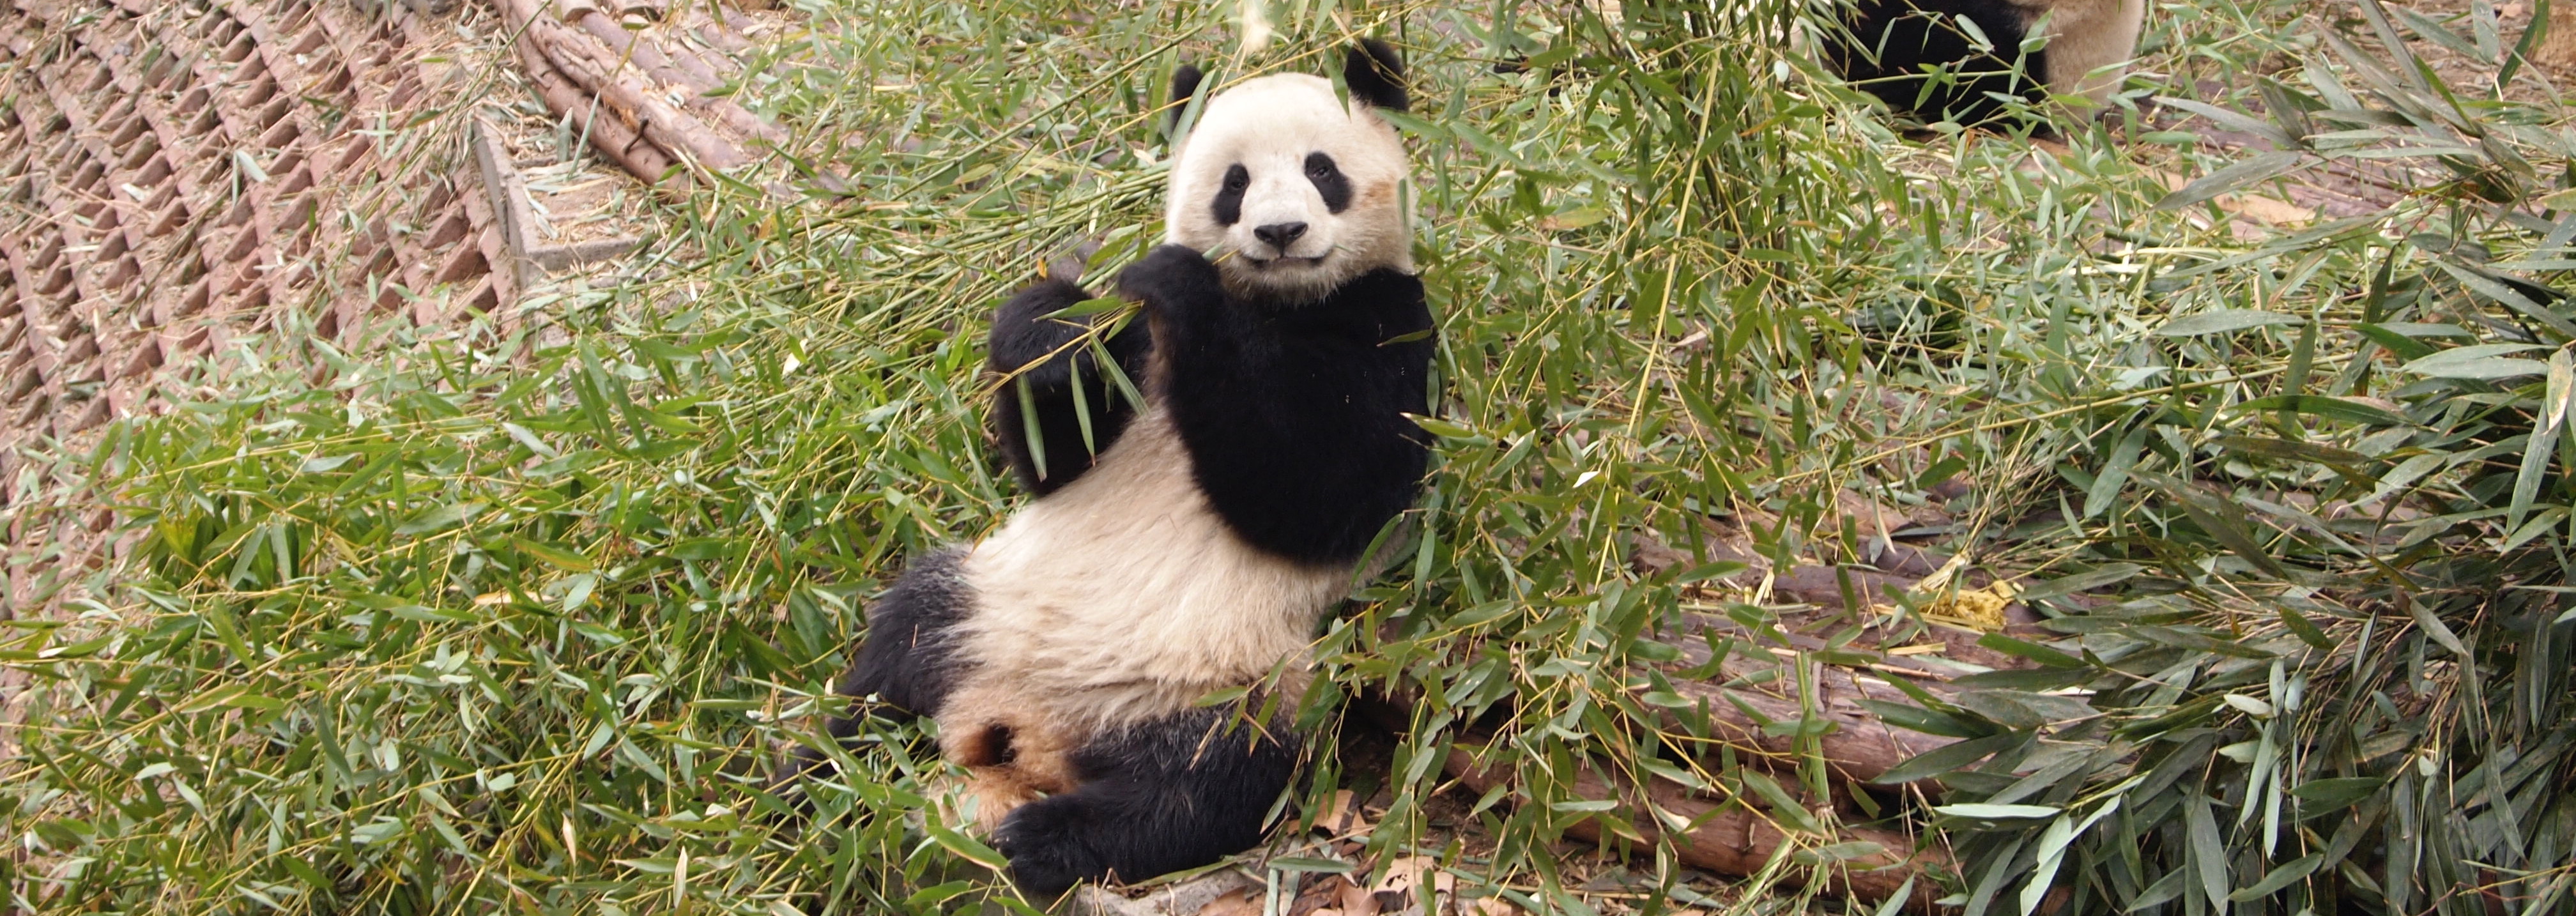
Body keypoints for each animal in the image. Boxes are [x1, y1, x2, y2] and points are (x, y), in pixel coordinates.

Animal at [791, 40, 1433, 898]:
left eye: (1321, 168)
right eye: (1234, 182)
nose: (1280, 231)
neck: (1276, 302)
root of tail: (1021, 729)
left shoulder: (1392, 327)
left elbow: (1321, 491)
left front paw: (1182, 285)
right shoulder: (1133, 354)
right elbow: (1054, 452)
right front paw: (1049, 328)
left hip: (1235, 683)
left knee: (1204, 783)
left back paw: (1042, 841)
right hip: (984, 603)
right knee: (899, 651)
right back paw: (814, 777)